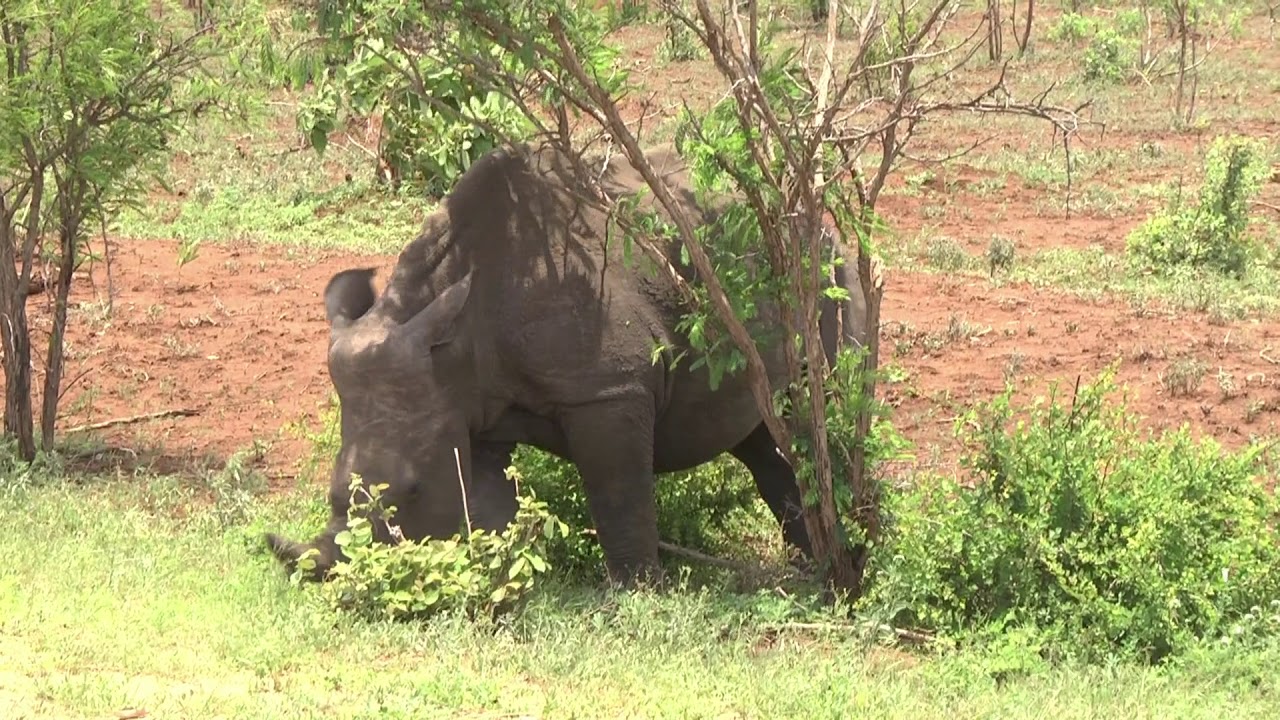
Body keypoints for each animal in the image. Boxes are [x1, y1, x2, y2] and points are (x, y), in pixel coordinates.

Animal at [265, 141, 868, 586]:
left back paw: (836, 573)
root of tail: (815, 220)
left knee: (814, 414)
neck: (455, 350)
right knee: (765, 440)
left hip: (824, 270)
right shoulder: (467, 407)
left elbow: (618, 492)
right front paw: (502, 571)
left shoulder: (607, 390)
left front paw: (637, 593)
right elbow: (488, 500)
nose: (340, 576)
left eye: (410, 491)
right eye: (332, 493)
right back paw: (812, 570)